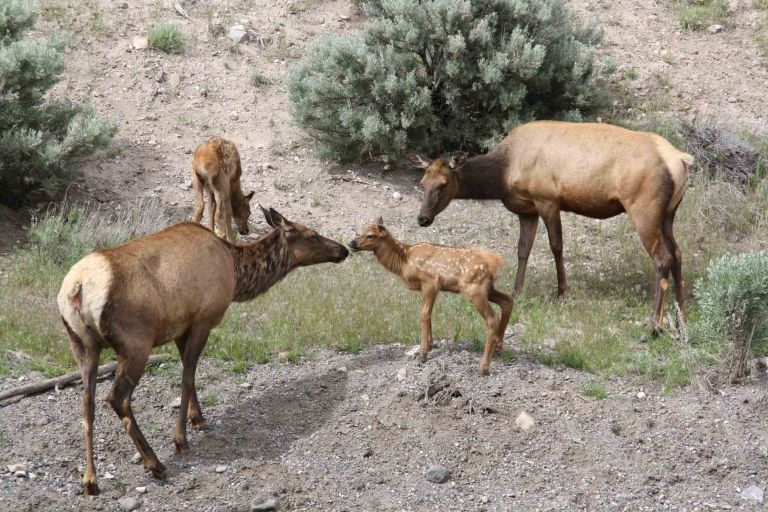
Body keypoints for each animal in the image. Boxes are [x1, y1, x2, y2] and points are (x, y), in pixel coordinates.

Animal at [57, 207, 348, 496]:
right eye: (312, 234)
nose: (343, 249)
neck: (236, 273)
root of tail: (78, 287)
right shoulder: (203, 318)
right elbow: (187, 377)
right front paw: (181, 438)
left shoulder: (180, 327)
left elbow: (191, 375)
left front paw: (197, 418)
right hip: (135, 342)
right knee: (117, 398)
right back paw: (154, 463)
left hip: (81, 344)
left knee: (87, 403)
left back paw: (90, 480)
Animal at [348, 218, 513, 376]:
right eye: (362, 231)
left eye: (370, 235)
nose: (351, 243)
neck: (404, 260)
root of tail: (496, 263)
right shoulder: (430, 287)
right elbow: (429, 314)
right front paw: (429, 345)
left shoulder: (429, 282)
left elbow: (424, 314)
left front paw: (422, 354)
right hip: (487, 288)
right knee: (507, 300)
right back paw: (499, 347)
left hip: (474, 289)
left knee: (492, 319)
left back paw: (483, 368)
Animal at [408, 120, 694, 335]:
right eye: (423, 182)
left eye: (443, 184)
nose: (423, 218)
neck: (504, 174)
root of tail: (681, 161)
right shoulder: (527, 209)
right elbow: (523, 249)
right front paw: (517, 291)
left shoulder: (547, 198)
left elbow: (556, 246)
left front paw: (562, 292)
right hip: (668, 214)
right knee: (678, 254)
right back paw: (681, 318)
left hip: (643, 206)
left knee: (662, 258)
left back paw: (654, 325)